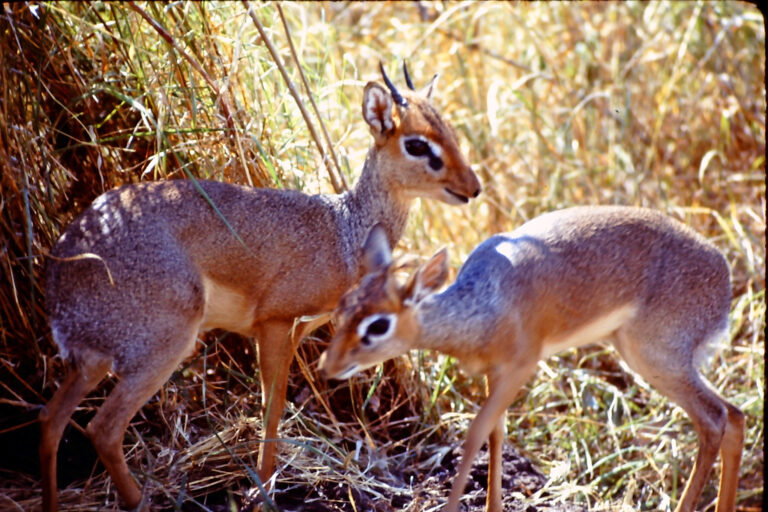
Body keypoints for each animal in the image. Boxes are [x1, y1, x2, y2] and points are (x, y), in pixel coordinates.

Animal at [40, 63, 481, 511]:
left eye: (449, 130)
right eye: (417, 144)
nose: (472, 187)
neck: (344, 233)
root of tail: (60, 279)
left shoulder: (289, 332)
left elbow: (271, 402)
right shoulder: (276, 323)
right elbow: (273, 405)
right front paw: (263, 489)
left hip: (92, 361)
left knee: (50, 420)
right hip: (160, 347)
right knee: (102, 428)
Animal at [319, 206, 744, 512]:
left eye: (378, 324)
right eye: (344, 305)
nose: (328, 366)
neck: (486, 304)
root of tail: (724, 275)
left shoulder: (522, 367)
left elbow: (474, 434)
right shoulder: (494, 374)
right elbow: (496, 433)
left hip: (656, 359)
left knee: (714, 419)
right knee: (734, 415)